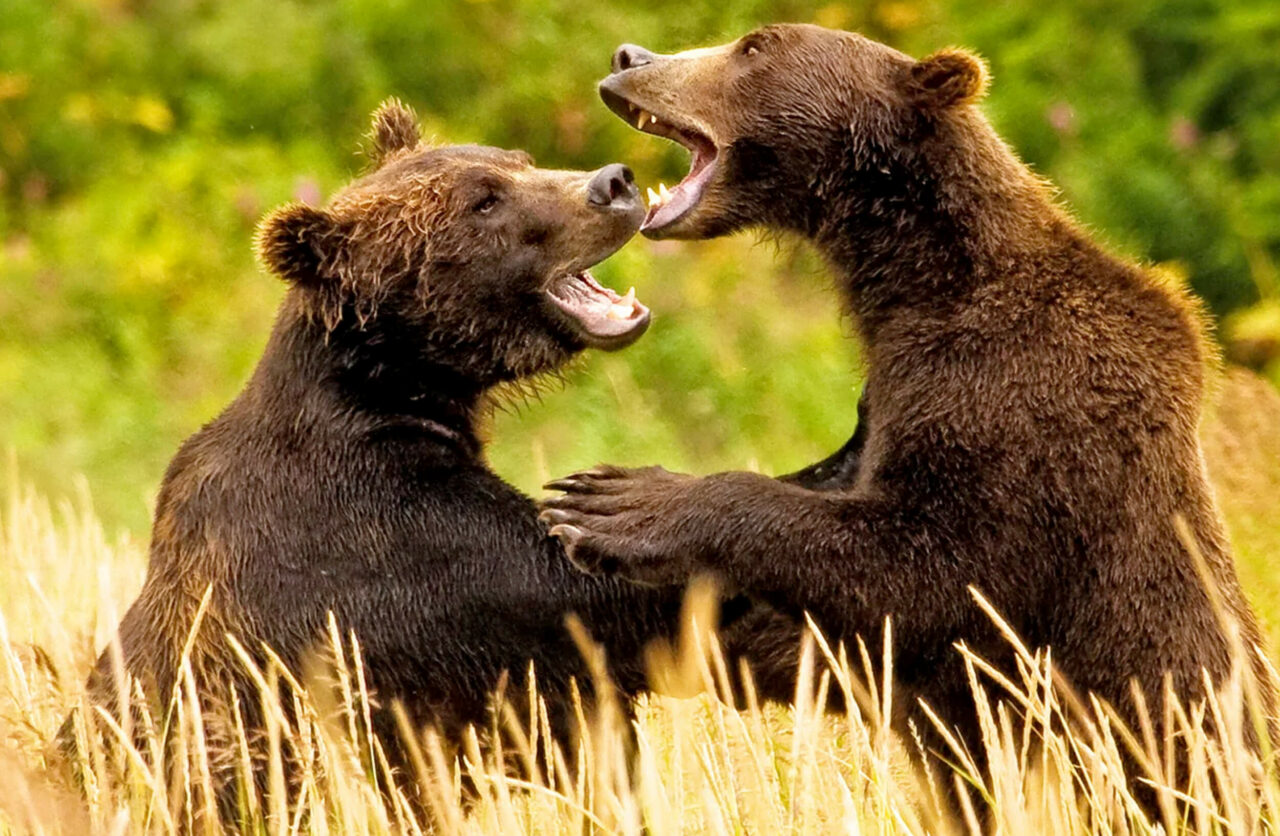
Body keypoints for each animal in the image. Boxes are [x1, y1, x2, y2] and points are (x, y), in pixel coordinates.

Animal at [67, 99, 758, 810]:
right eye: (483, 201)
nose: (612, 183)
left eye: (517, 160)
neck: (393, 390)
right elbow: (594, 602)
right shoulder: (398, 541)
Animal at [541, 23, 1272, 800]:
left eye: (754, 46)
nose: (629, 59)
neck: (917, 283)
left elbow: (930, 574)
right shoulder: (893, 397)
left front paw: (614, 502)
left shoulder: (1022, 403)